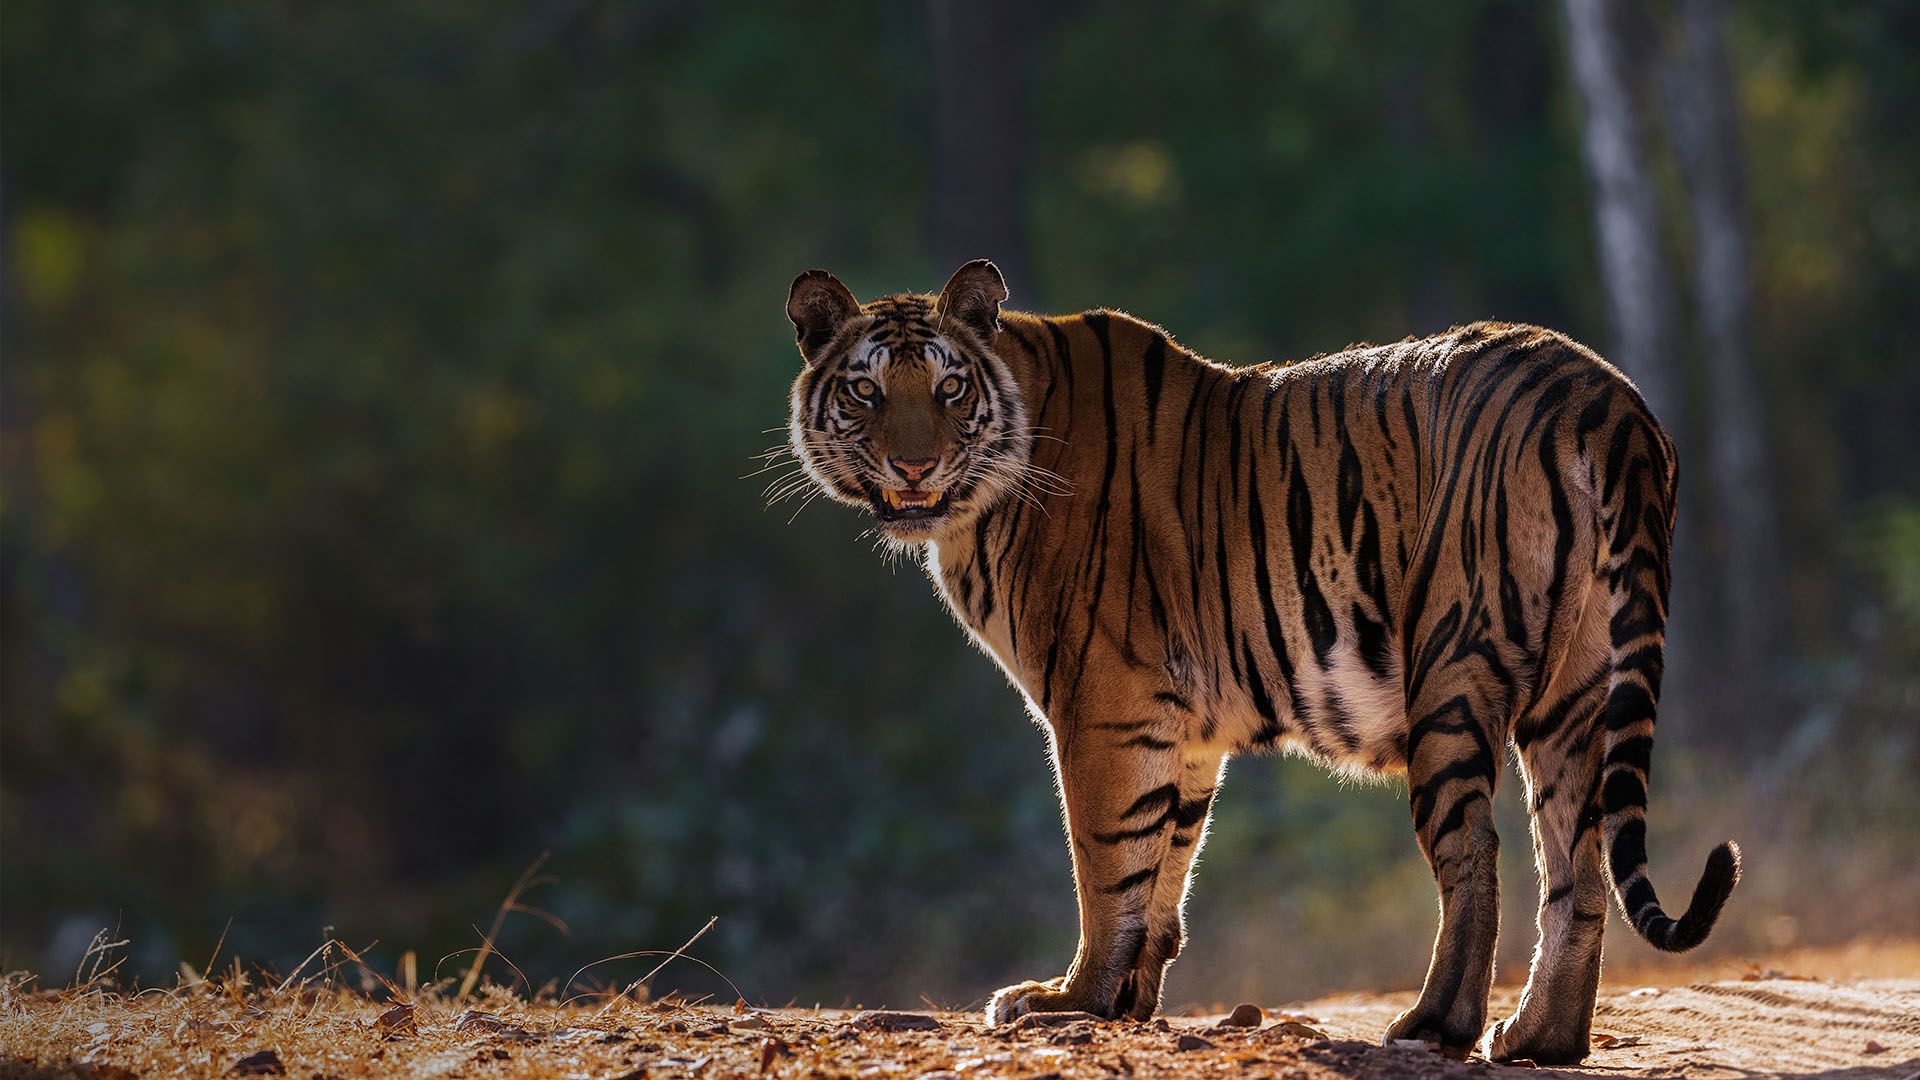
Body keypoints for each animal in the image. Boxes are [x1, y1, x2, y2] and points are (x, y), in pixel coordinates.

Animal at [778, 258, 1740, 1064]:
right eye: (865, 390)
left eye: (949, 387)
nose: (915, 465)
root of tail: (1601, 396)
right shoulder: (1180, 727)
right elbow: (1163, 862)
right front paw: (1127, 1002)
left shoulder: (1101, 703)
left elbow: (1105, 861)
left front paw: (1071, 1002)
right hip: (1577, 691)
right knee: (1576, 869)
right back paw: (1542, 1039)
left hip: (1453, 659)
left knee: (1476, 850)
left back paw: (1437, 1025)